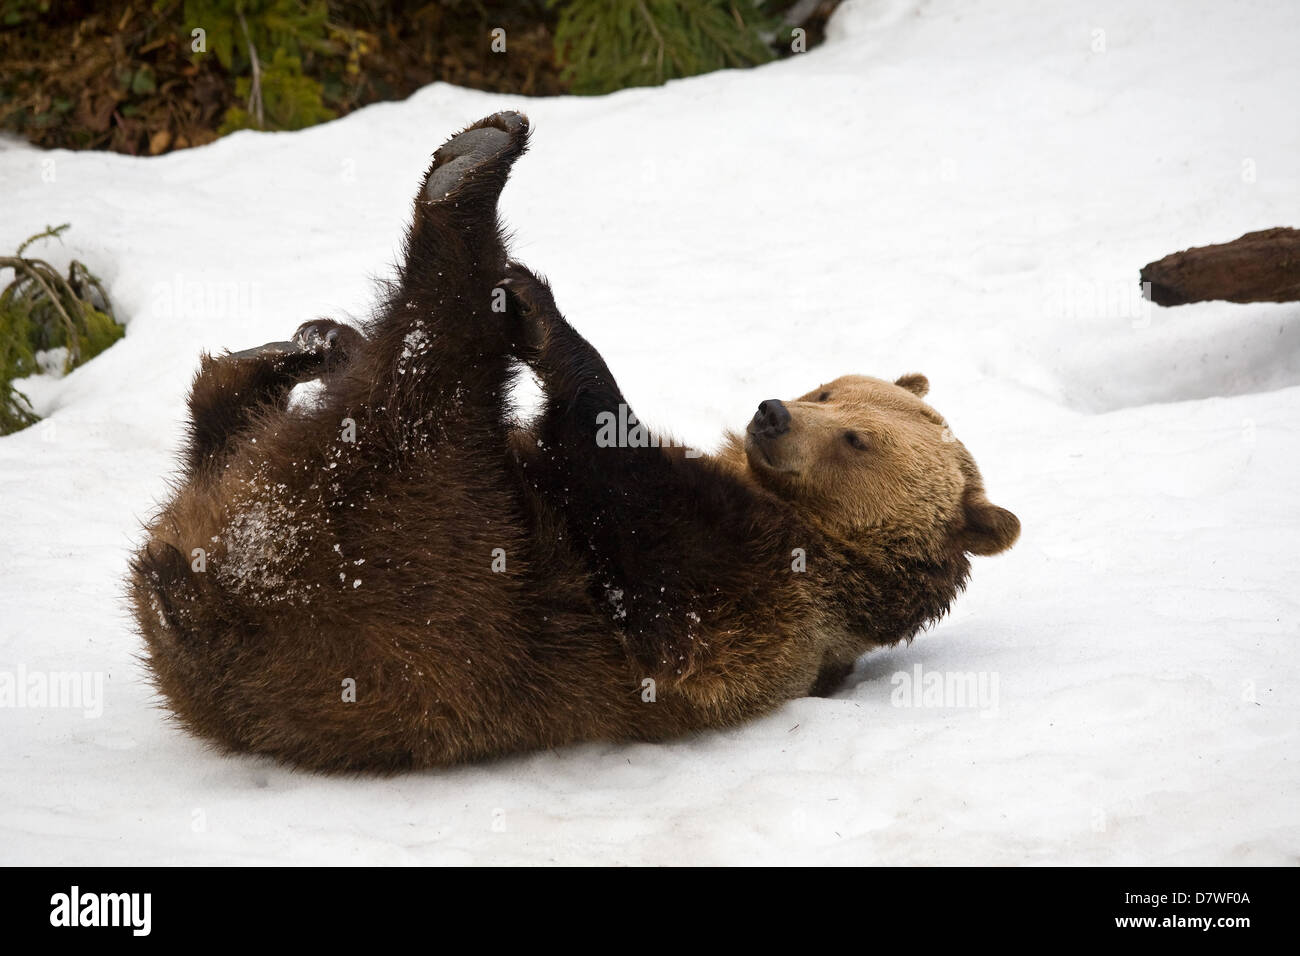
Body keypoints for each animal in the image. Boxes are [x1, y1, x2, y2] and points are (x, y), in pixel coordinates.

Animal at [128, 111, 1019, 773]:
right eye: (831, 390)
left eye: (859, 441)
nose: (773, 413)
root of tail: (190, 593)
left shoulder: (753, 597)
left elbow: (647, 553)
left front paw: (538, 310)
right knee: (237, 422)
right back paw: (301, 346)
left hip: (416, 571)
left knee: (428, 382)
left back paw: (469, 172)